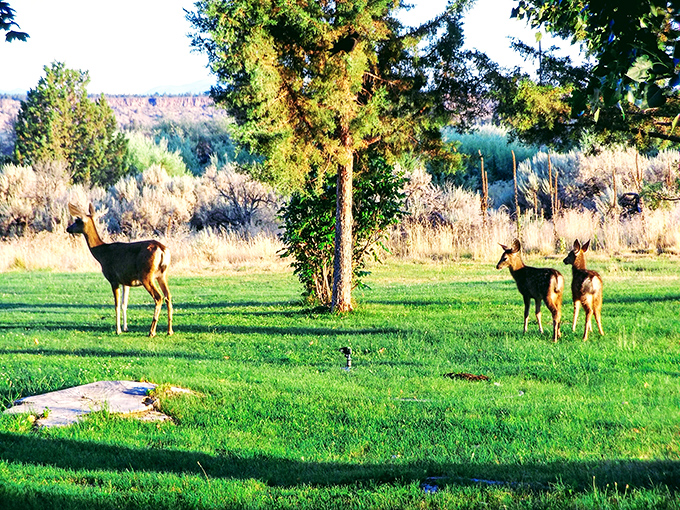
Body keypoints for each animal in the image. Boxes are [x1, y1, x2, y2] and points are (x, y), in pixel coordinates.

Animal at [66, 203, 173, 337]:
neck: (102, 253)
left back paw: (152, 331)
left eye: (77, 220)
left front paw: (118, 330)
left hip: (146, 275)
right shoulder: (125, 281)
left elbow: (116, 305)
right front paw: (125, 328)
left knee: (158, 297)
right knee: (168, 296)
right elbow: (124, 304)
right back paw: (169, 330)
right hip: (162, 274)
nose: (68, 228)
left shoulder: (113, 279)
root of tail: (162, 249)